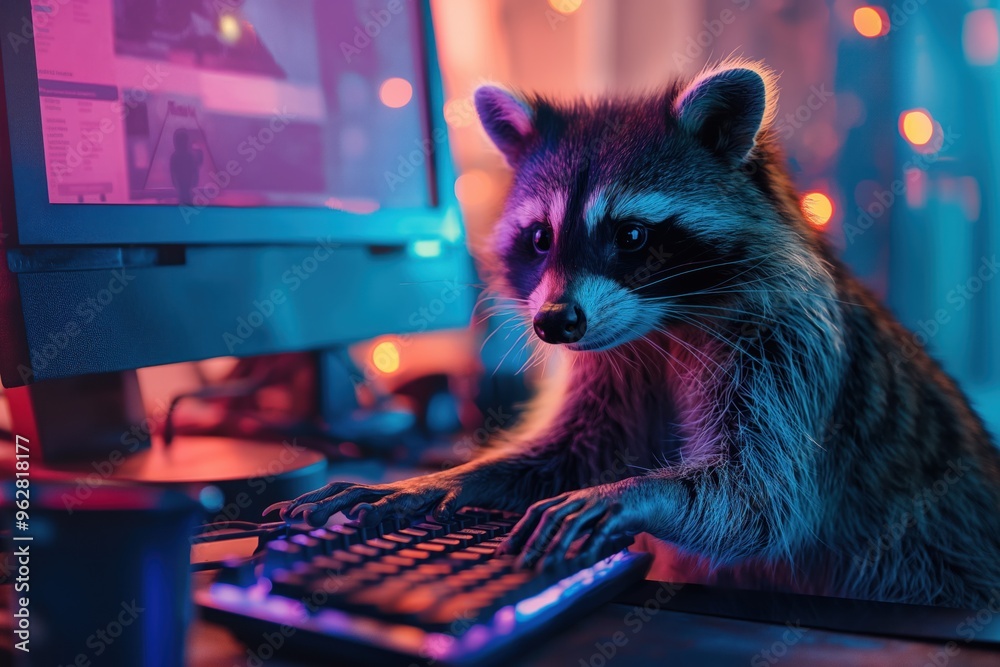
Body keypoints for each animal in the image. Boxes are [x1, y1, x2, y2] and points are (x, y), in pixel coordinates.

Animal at [268, 60, 1000, 609]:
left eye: (633, 236)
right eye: (541, 238)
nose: (553, 323)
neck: (663, 319)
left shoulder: (787, 342)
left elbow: (761, 494)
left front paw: (639, 494)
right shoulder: (614, 355)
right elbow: (579, 450)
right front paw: (442, 478)